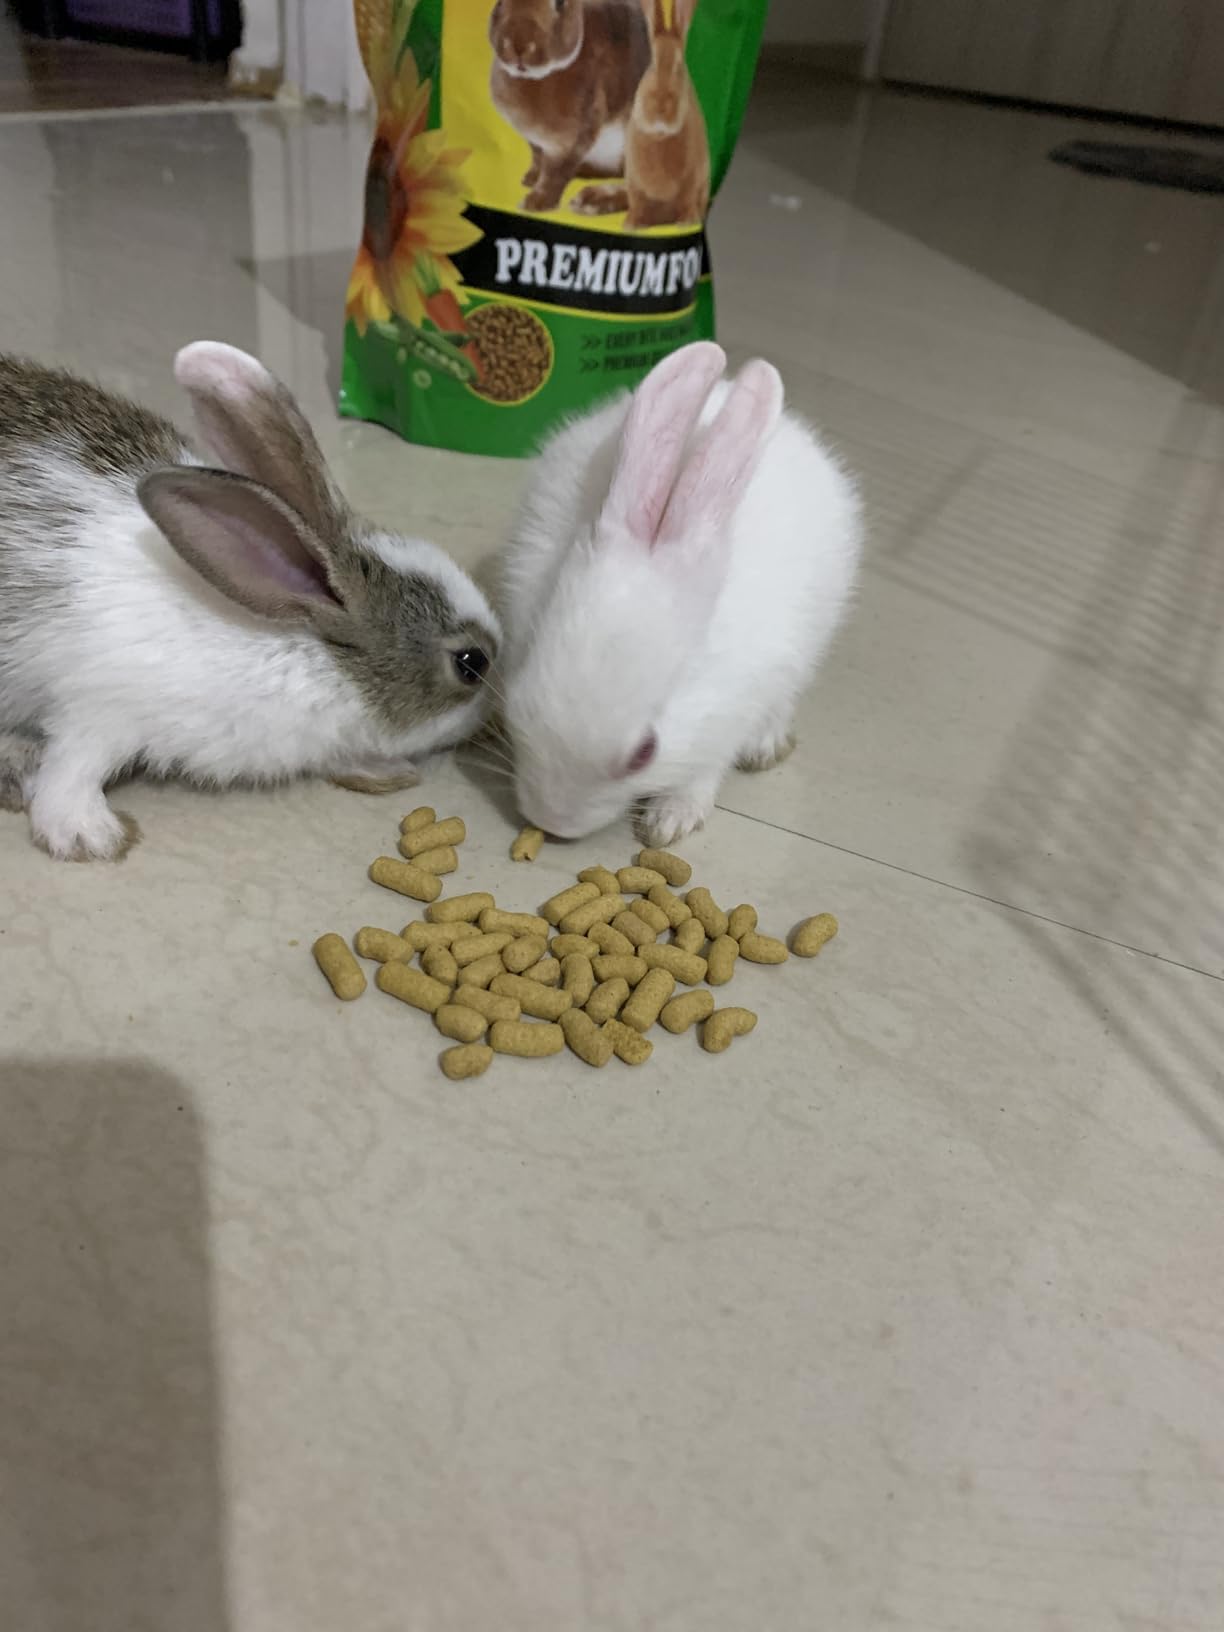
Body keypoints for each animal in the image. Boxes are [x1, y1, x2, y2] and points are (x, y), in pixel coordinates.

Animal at [0, 342, 500, 862]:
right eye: (471, 663)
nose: (491, 710)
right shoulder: (102, 710)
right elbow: (72, 770)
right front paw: (90, 836)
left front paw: (384, 771)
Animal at [489, 0, 651, 213]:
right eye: (499, 3)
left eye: (559, 4)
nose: (519, 45)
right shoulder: (535, 142)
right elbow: (538, 159)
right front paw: (530, 179)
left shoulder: (570, 140)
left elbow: (555, 173)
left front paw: (536, 202)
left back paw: (591, 201)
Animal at [499, 341, 861, 845]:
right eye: (521, 698)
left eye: (644, 752)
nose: (551, 822)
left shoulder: (730, 713)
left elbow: (703, 770)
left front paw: (669, 822)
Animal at [623, 0, 709, 228]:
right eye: (652, 62)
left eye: (679, 66)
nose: (661, 106)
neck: (659, 135)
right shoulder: (633, 180)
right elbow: (637, 203)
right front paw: (631, 225)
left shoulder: (690, 178)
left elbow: (686, 201)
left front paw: (686, 223)